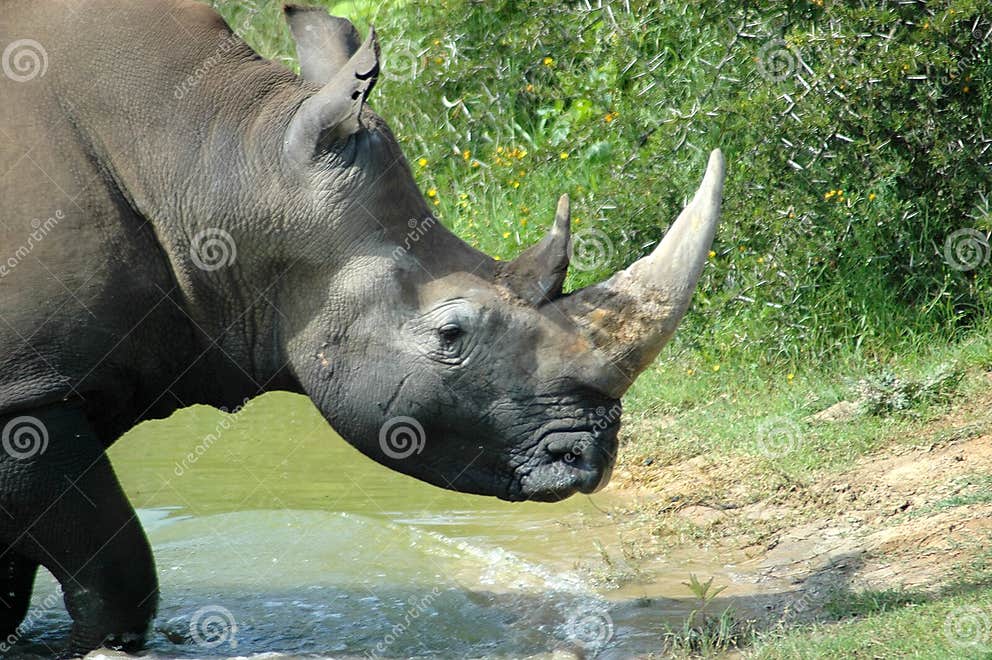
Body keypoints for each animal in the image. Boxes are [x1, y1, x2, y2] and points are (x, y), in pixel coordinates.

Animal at [0, 0, 724, 655]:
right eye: (451, 335)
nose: (592, 456)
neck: (219, 163)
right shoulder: (25, 395)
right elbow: (116, 567)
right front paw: (89, 648)